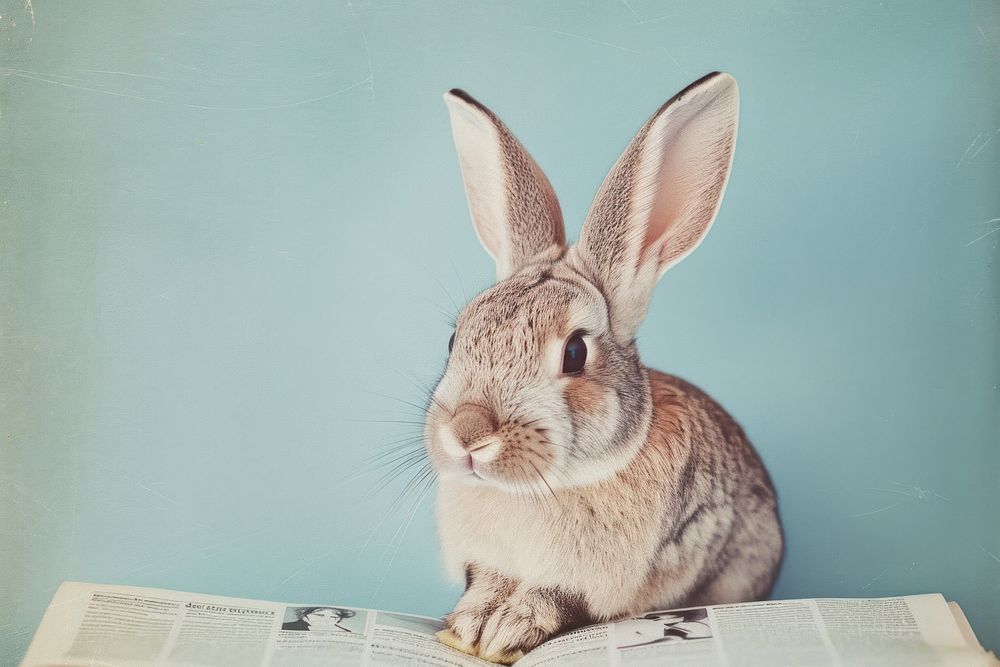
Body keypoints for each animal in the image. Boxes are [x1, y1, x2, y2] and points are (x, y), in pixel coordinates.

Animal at [424, 72, 783, 664]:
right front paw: (469, 627)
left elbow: (552, 599)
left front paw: (505, 631)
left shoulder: (595, 578)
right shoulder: (489, 561)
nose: (468, 432)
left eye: (574, 353)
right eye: (456, 338)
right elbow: (489, 584)